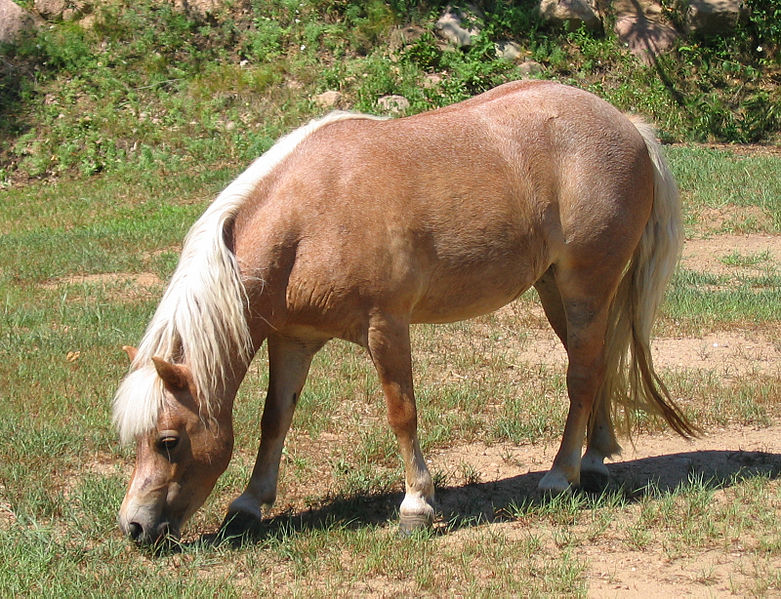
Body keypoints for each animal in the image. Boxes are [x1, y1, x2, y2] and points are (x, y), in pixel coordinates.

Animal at [114, 80, 696, 546]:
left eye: (168, 441)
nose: (135, 528)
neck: (308, 217)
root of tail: (627, 125)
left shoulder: (385, 328)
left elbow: (402, 413)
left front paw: (417, 504)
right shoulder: (292, 339)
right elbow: (274, 418)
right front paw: (249, 504)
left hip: (585, 287)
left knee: (581, 376)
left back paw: (561, 474)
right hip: (557, 292)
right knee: (595, 366)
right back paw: (593, 462)